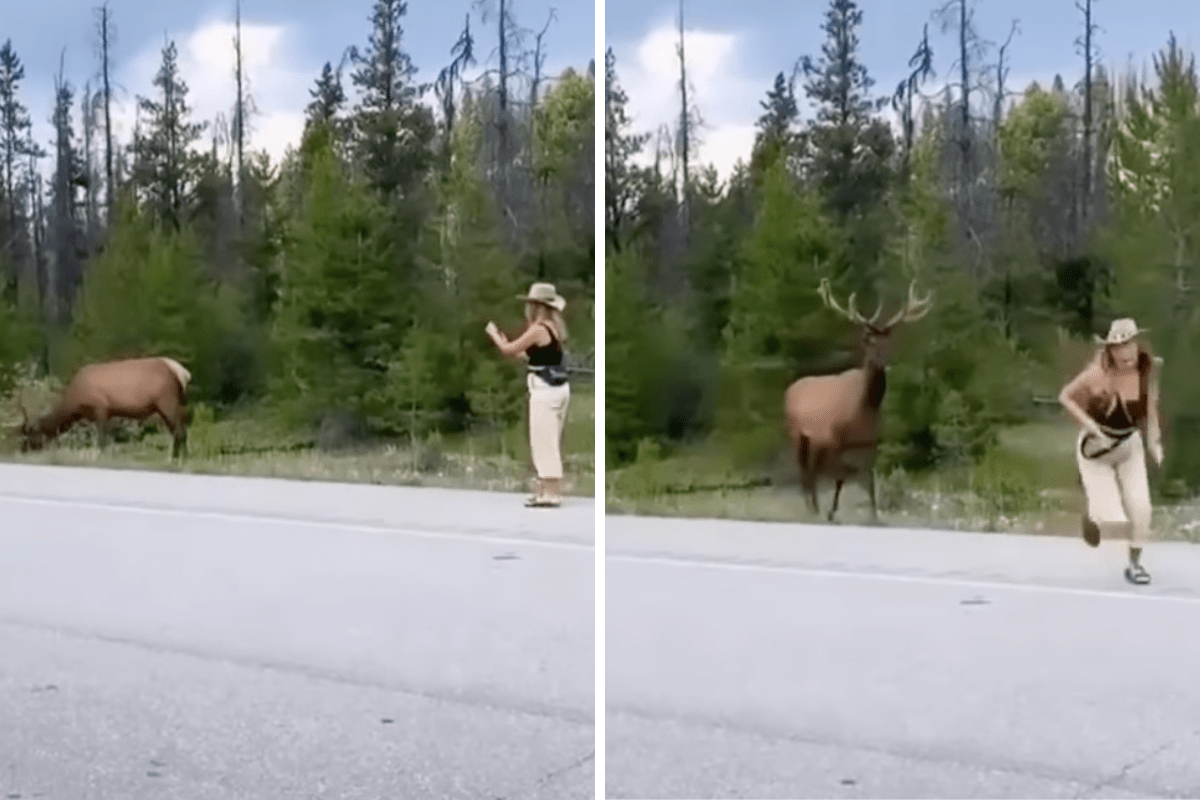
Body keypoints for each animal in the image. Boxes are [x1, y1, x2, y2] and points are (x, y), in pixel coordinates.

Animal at [13, 356, 193, 460]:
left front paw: (101, 457)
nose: (22, 450)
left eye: (31, 434)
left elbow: (102, 440)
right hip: (163, 407)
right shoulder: (107, 413)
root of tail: (184, 374)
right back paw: (174, 458)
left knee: (181, 430)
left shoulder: (101, 408)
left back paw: (182, 459)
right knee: (176, 431)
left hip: (168, 401)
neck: (74, 403)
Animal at [784, 278, 934, 523]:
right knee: (803, 468)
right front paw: (832, 512)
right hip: (797, 433)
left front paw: (874, 514)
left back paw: (814, 506)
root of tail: (789, 389)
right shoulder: (837, 439)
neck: (865, 405)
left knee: (813, 469)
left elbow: (870, 479)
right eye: (869, 342)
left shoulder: (870, 441)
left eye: (887, 341)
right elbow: (840, 478)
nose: (882, 362)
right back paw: (810, 507)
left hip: (817, 441)